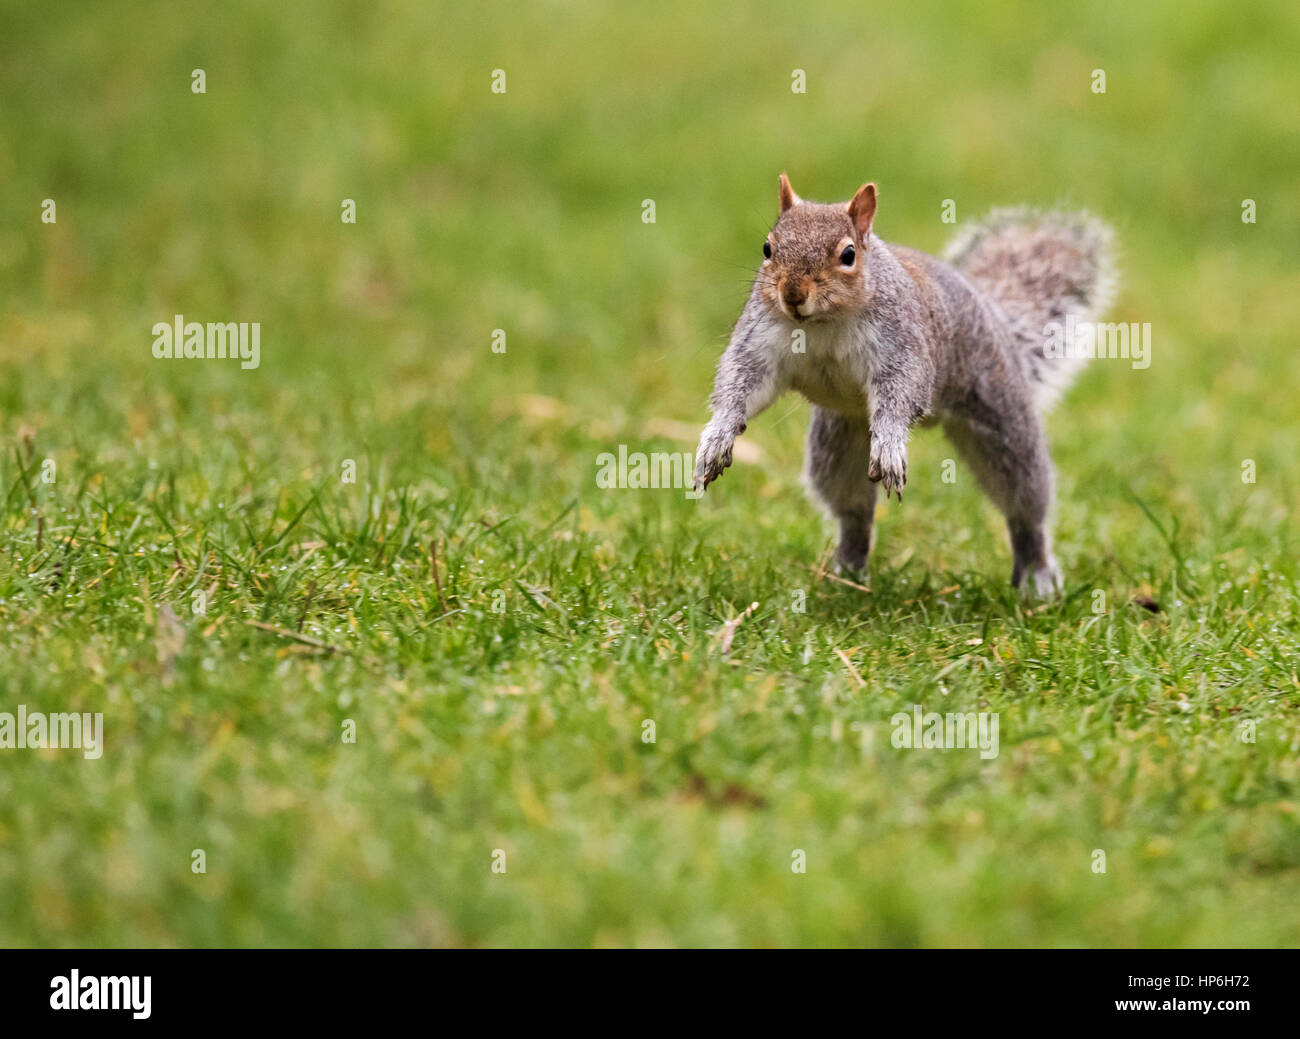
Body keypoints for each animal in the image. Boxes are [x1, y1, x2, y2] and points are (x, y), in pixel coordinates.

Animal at [693, 174, 1115, 597]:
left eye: (848, 254)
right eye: (768, 248)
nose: (792, 294)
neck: (822, 323)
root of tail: (995, 318)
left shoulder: (902, 344)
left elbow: (902, 391)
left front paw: (891, 443)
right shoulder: (761, 339)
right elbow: (742, 381)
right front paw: (717, 437)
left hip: (1003, 419)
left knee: (1026, 505)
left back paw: (1037, 573)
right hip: (839, 438)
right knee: (853, 510)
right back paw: (849, 569)